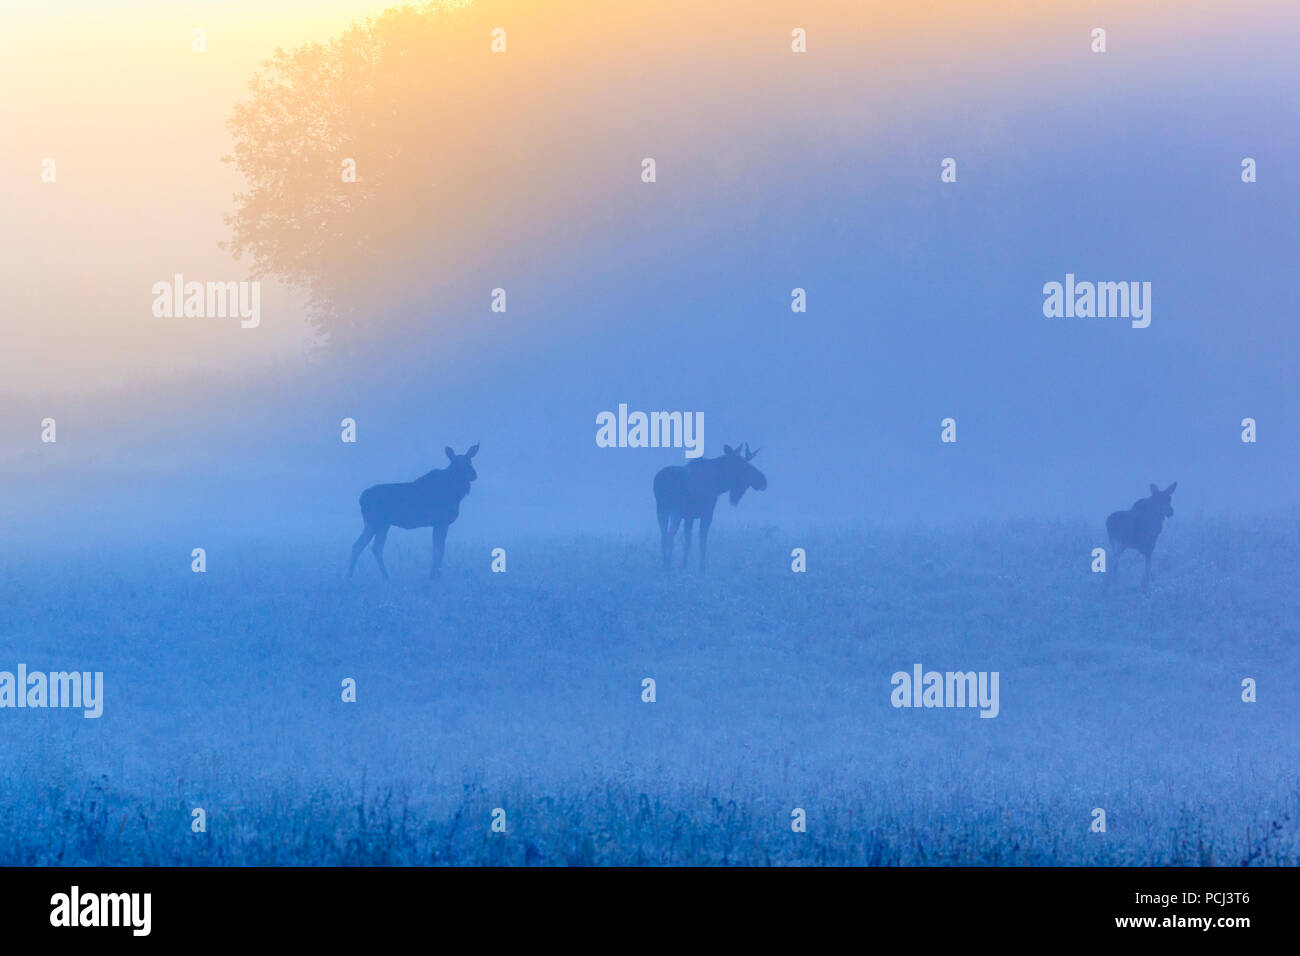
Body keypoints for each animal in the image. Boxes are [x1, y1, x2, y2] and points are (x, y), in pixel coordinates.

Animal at [348, 444, 479, 579]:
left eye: (470, 461)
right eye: (457, 463)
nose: (474, 474)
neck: (456, 494)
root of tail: (361, 498)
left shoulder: (439, 524)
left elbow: (438, 550)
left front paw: (434, 575)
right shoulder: (441, 522)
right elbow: (438, 551)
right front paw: (435, 576)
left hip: (383, 525)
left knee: (374, 548)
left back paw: (384, 577)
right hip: (374, 522)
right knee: (359, 546)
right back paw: (351, 576)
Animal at [654, 442, 766, 572]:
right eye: (743, 465)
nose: (763, 481)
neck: (719, 484)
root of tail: (659, 482)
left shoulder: (689, 517)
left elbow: (687, 542)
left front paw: (684, 567)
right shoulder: (707, 513)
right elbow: (702, 543)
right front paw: (701, 569)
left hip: (661, 510)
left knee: (663, 536)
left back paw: (664, 565)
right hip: (675, 511)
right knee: (669, 535)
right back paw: (667, 566)